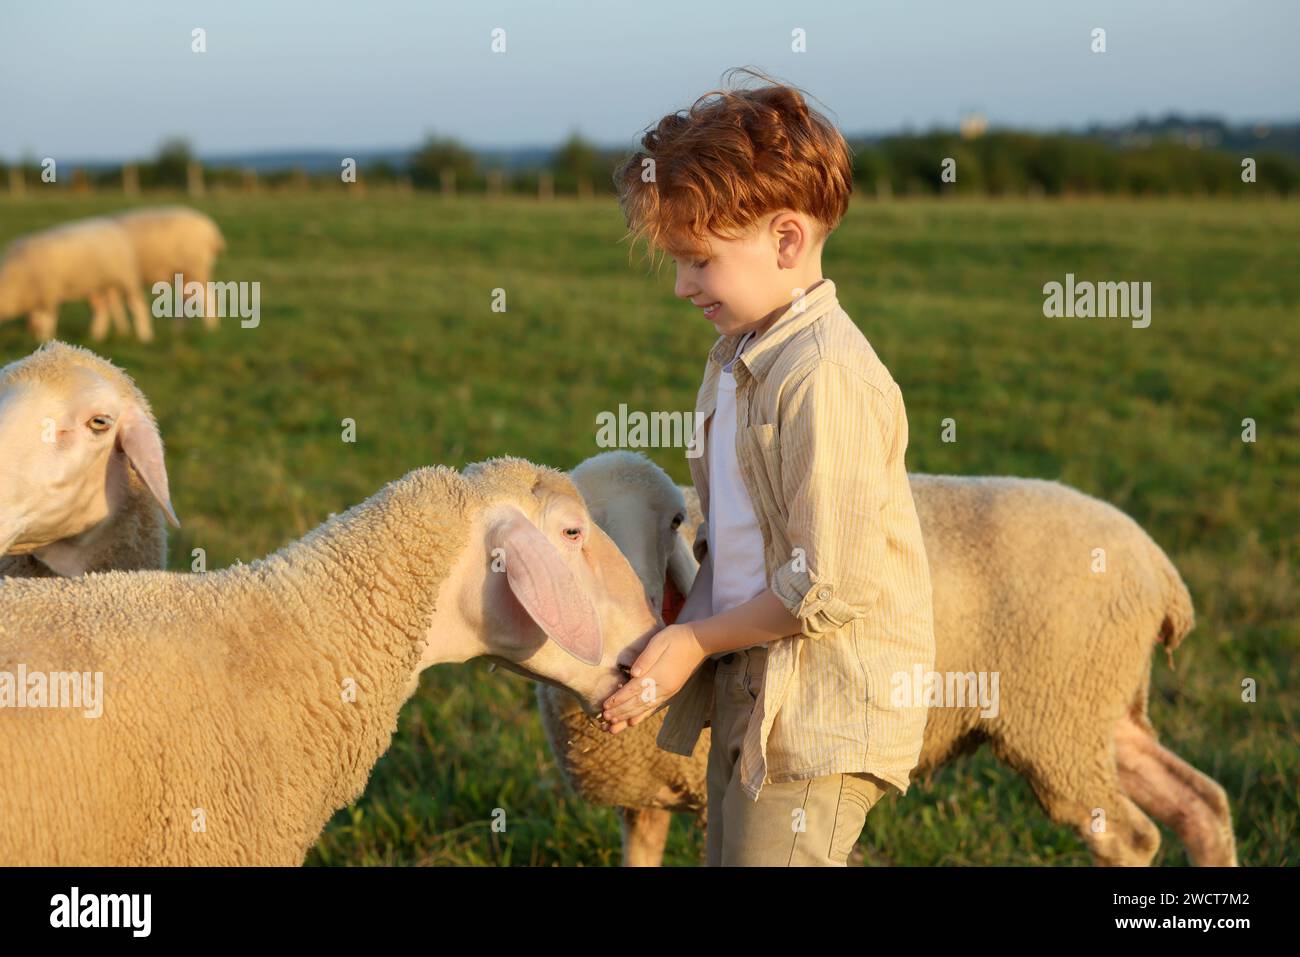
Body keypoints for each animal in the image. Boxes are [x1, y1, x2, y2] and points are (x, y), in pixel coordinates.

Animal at [0, 218, 155, 342]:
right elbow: (38, 320)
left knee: (138, 305)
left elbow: (47, 321)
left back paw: (144, 335)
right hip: (98, 285)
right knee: (101, 309)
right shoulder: (38, 297)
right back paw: (96, 335)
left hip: (125, 278)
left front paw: (45, 338)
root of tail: (112, 228)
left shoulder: (49, 294)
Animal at [552, 451, 1237, 867]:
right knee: (1198, 801)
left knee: (1128, 836)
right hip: (1101, 713)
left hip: (1060, 719)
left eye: (672, 521)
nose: (639, 605)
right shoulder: (642, 796)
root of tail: (1161, 572)